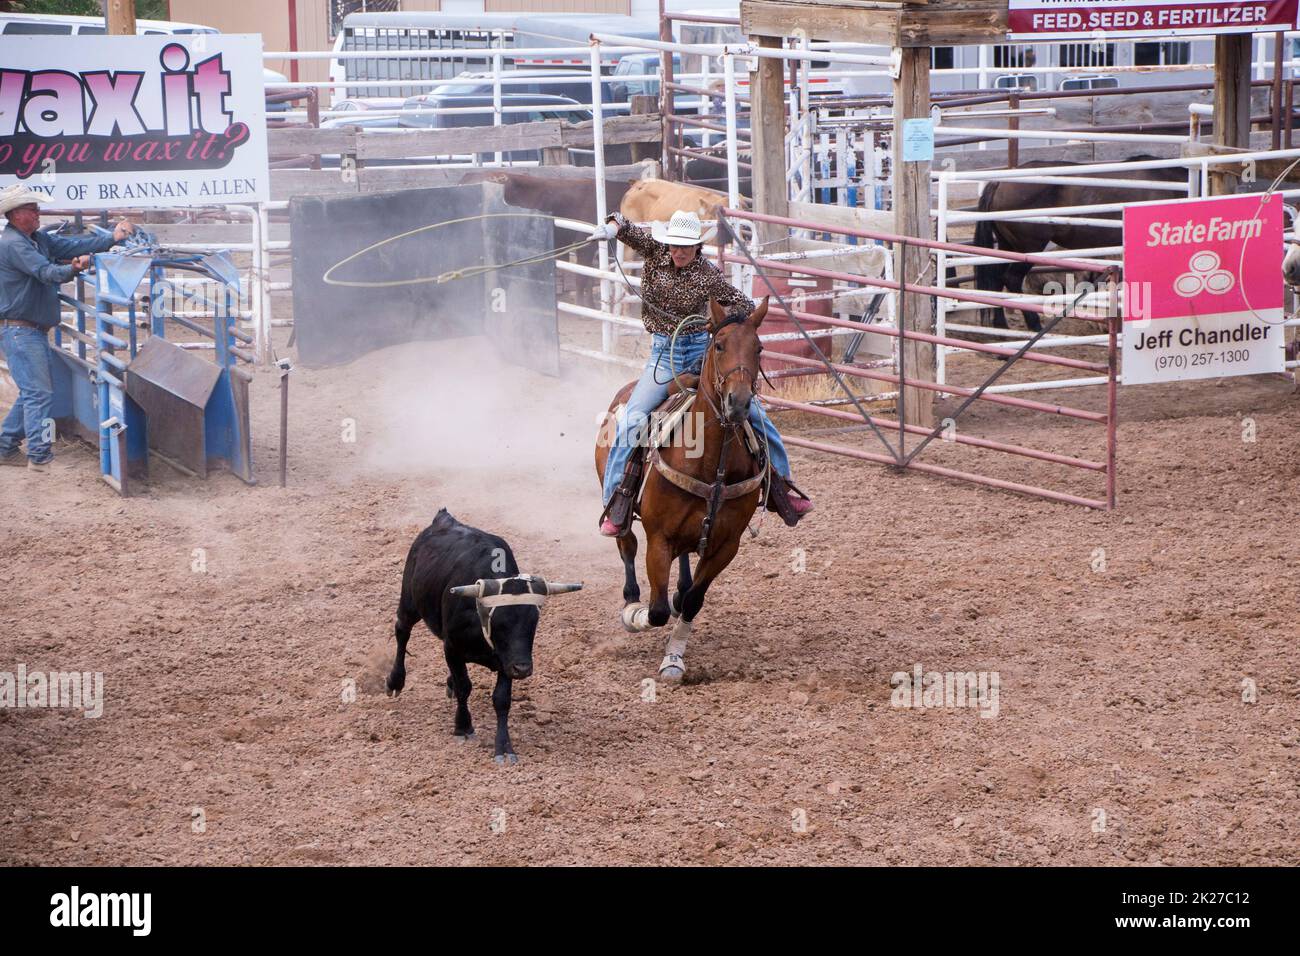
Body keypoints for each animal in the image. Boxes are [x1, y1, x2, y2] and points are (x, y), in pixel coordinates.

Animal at [386, 508, 581, 764]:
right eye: (499, 622)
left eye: (533, 621)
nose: (523, 668)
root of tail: (442, 519)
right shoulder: (452, 648)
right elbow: (464, 686)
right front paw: (463, 727)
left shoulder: (505, 660)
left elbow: (501, 699)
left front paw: (504, 747)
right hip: (409, 600)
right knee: (402, 631)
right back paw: (395, 680)